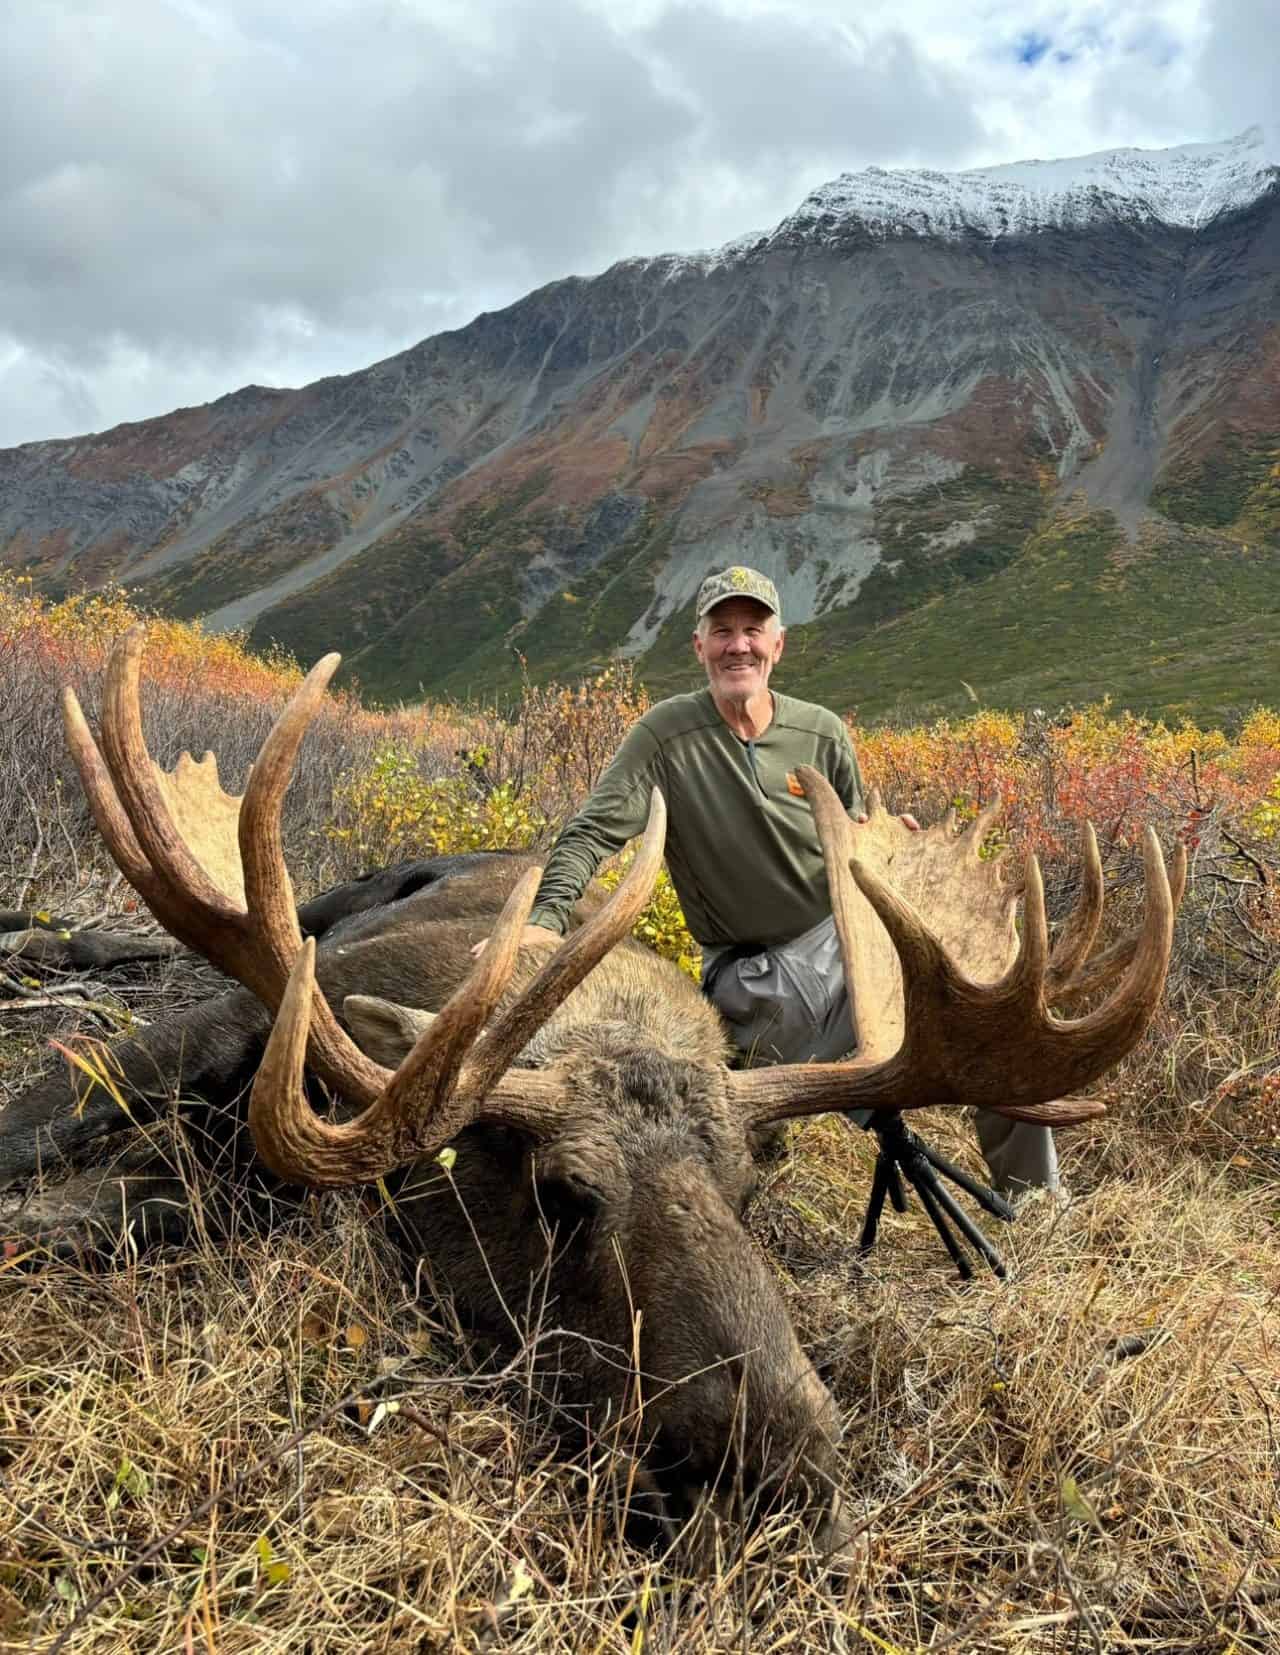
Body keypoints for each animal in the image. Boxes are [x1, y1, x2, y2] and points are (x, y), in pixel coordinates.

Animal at [0, 627, 1183, 1555]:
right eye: (564, 1192)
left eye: (748, 1191)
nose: (773, 1467)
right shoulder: (260, 1015)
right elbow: (49, 1126)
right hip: (326, 907)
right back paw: (44, 940)